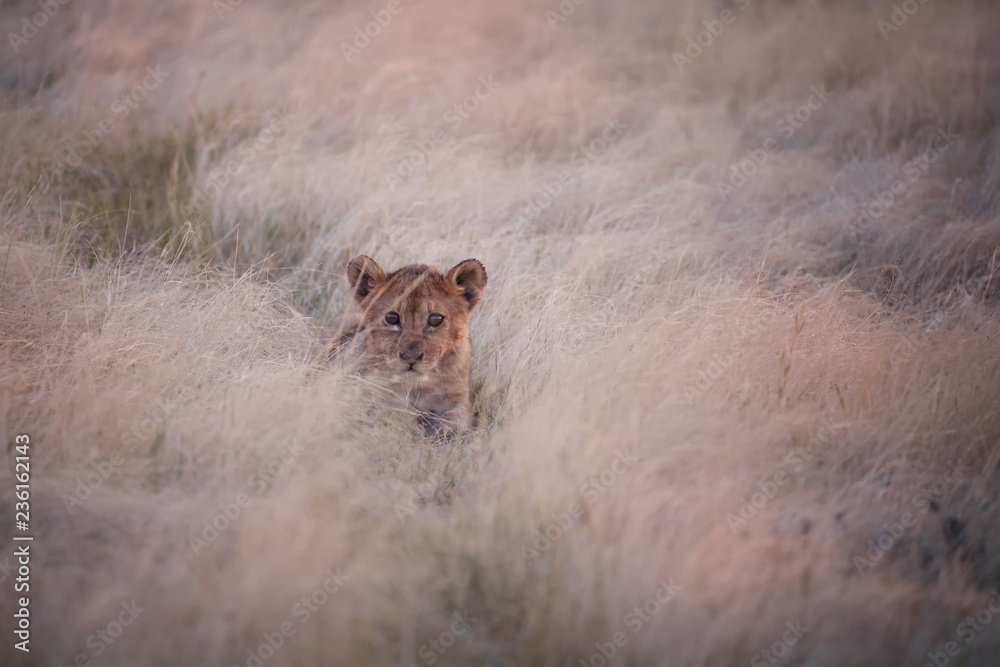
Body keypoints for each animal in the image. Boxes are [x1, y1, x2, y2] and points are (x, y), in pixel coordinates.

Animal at [326, 255, 488, 436]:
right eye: (392, 318)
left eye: (436, 319)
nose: (411, 358)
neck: (418, 387)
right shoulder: (367, 396)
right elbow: (391, 414)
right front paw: (414, 429)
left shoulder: (458, 397)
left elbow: (459, 419)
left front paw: (450, 432)